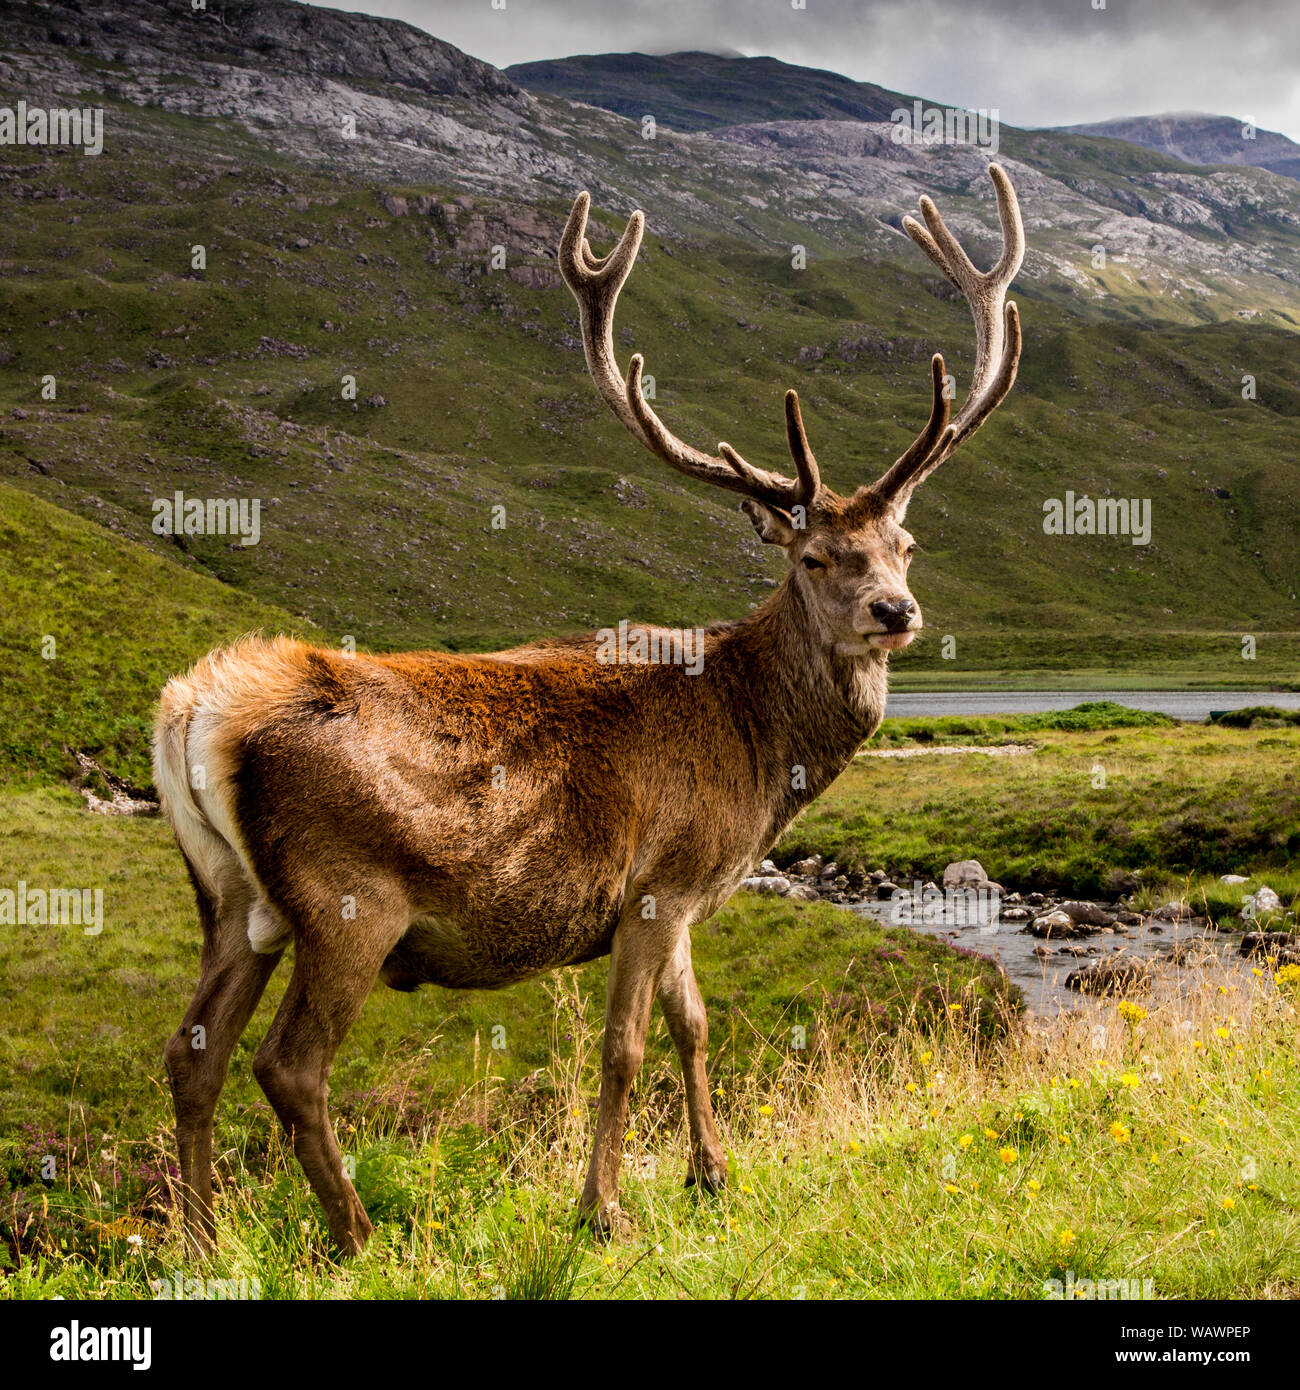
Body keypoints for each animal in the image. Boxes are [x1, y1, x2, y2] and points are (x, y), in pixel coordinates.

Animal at [153, 164, 1024, 1254]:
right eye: (815, 557)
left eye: (905, 546)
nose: (895, 612)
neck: (755, 743)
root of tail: (199, 709)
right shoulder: (655, 882)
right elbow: (624, 1046)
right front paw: (601, 1207)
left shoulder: (688, 892)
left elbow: (696, 1026)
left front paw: (713, 1177)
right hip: (346, 899)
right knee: (289, 1064)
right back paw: (360, 1236)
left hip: (232, 899)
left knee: (191, 1051)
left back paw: (201, 1242)